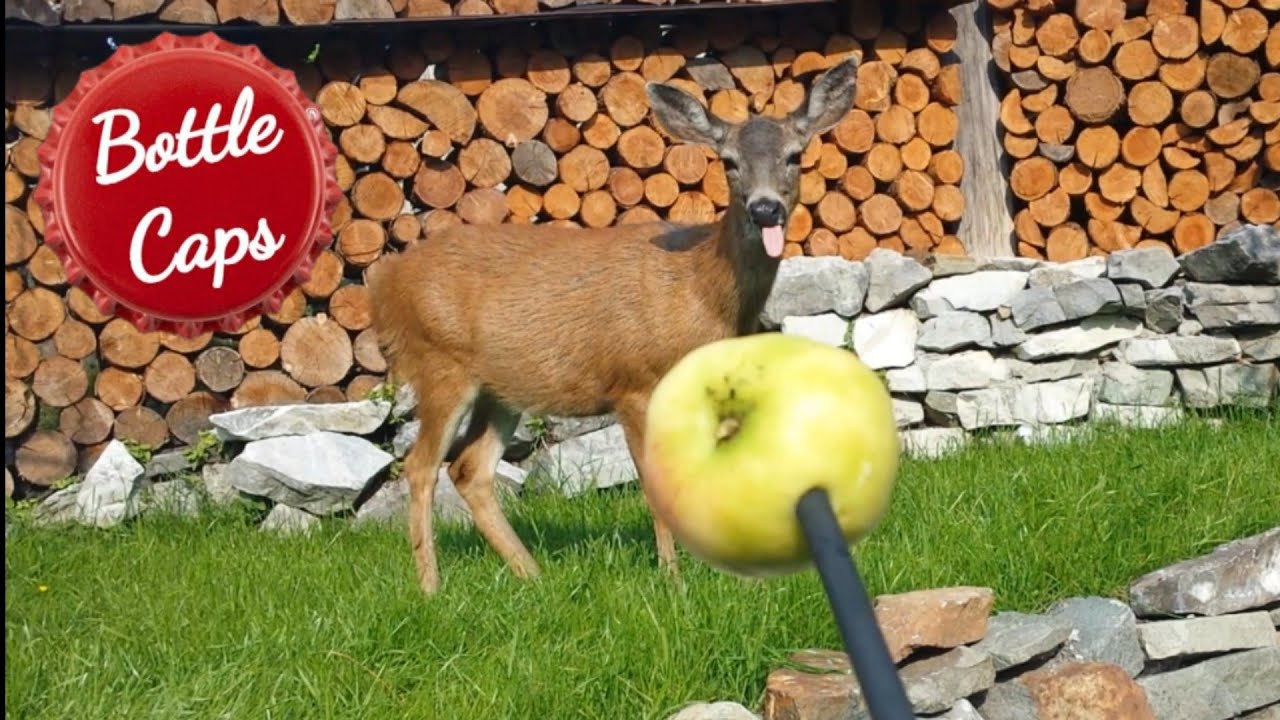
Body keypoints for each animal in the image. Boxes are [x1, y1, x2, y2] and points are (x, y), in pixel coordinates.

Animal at [366, 56, 859, 595]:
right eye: (728, 161)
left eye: (795, 155)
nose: (765, 208)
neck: (699, 292)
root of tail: (385, 285)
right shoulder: (635, 384)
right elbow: (656, 486)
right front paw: (673, 581)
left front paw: (741, 575)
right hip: (439, 364)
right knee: (420, 467)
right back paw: (431, 587)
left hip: (502, 388)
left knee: (469, 469)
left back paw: (533, 575)